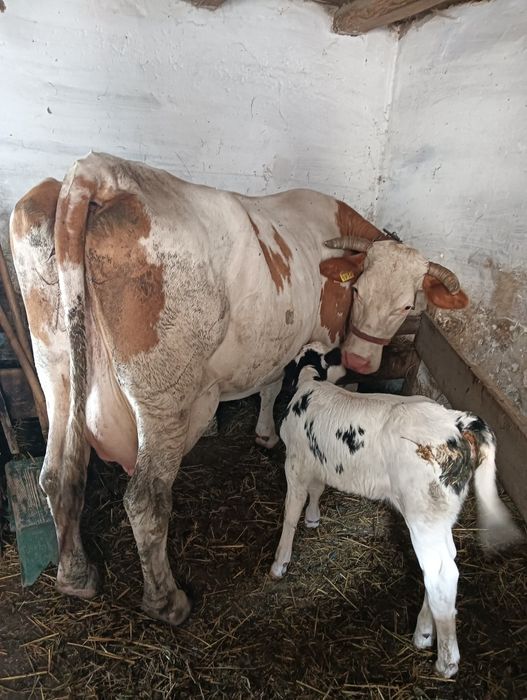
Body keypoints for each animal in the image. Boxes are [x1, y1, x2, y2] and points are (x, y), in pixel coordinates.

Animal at [9, 152, 468, 626]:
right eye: (356, 290)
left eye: (408, 303)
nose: (361, 359)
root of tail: (99, 170)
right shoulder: (319, 338)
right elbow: (286, 384)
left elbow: (268, 383)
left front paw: (264, 432)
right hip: (164, 396)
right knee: (145, 500)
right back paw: (167, 602)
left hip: (56, 369)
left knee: (59, 473)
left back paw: (76, 575)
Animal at [271, 343, 522, 678]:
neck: (312, 383)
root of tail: (457, 421)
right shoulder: (318, 460)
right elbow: (317, 489)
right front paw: (313, 518)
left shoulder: (295, 462)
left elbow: (291, 512)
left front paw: (280, 563)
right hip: (439, 515)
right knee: (444, 564)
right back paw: (424, 631)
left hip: (423, 515)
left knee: (441, 573)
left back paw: (446, 661)